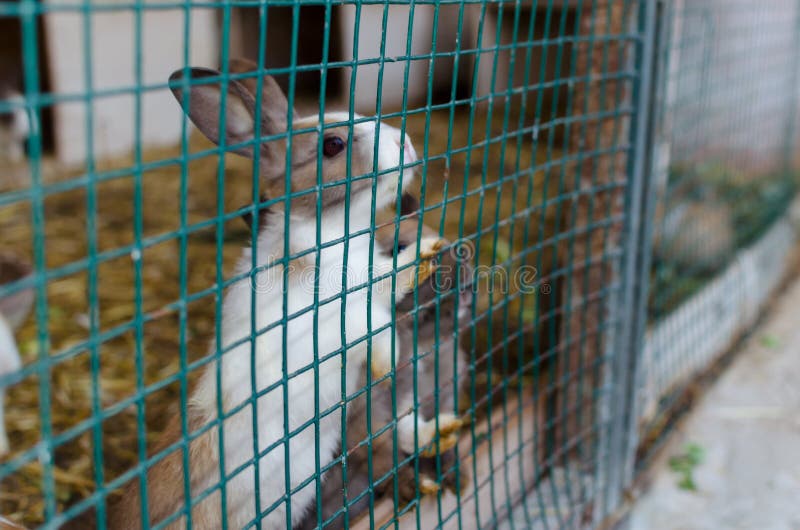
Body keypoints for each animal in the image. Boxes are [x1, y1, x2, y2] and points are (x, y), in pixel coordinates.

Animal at [295, 193, 473, 530]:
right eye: (397, 248)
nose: (463, 252)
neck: (421, 346)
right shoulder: (365, 424)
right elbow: (383, 457)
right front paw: (413, 487)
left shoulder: (445, 397)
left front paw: (457, 475)